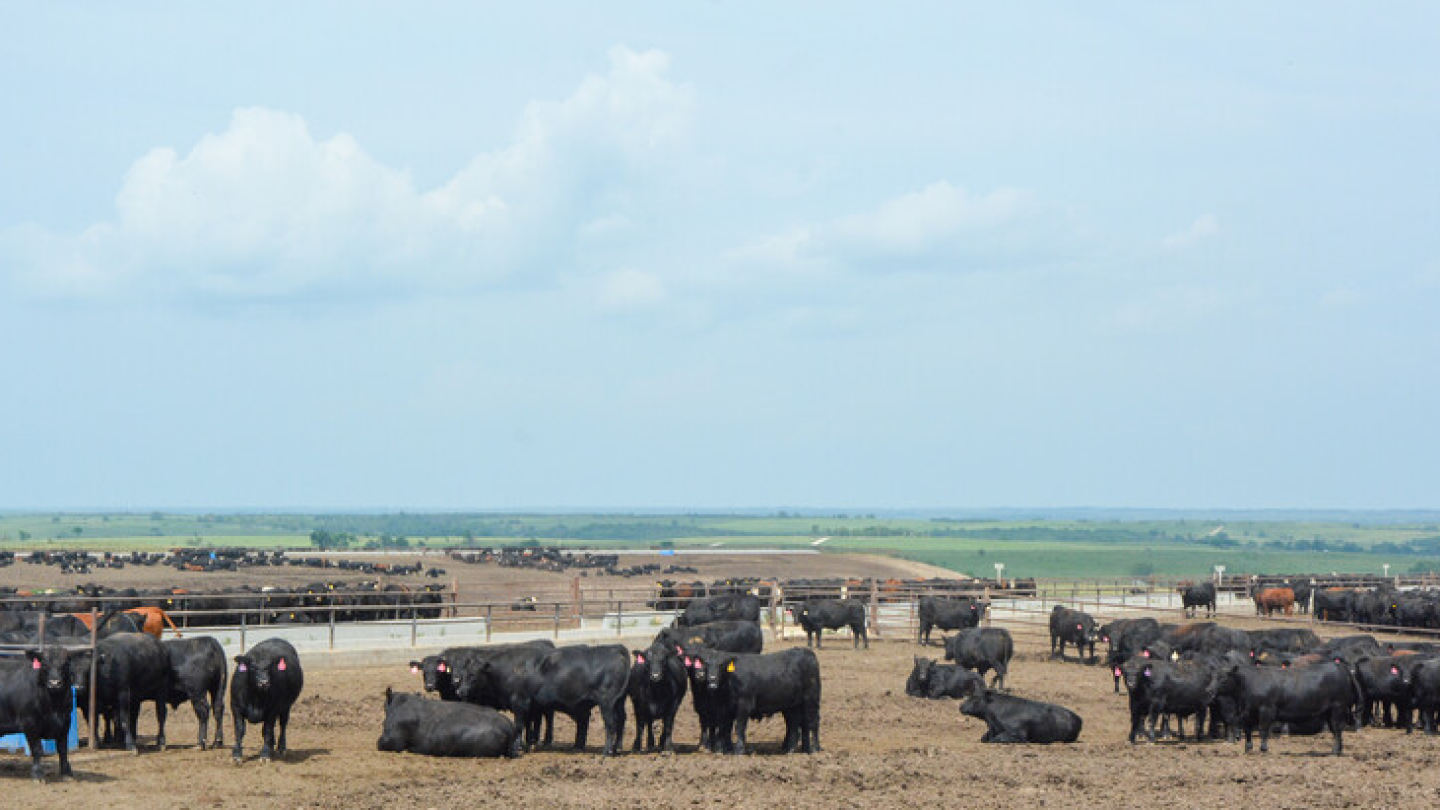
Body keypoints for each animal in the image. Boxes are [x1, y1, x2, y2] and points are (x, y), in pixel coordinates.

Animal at [0, 649, 74, 782]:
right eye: (44, 664)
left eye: (66, 664)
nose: (54, 683)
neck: (53, 706)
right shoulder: (30, 723)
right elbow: (37, 750)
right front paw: (37, 774)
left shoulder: (66, 721)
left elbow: (63, 749)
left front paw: (66, 773)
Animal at [688, 646, 821, 755]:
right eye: (706, 665)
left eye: (722, 665)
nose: (712, 681)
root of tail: (806, 652)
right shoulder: (725, 708)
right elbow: (724, 728)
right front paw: (723, 750)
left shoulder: (744, 704)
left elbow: (739, 727)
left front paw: (739, 750)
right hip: (793, 705)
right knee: (795, 724)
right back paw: (791, 749)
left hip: (811, 699)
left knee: (812, 722)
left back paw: (814, 749)